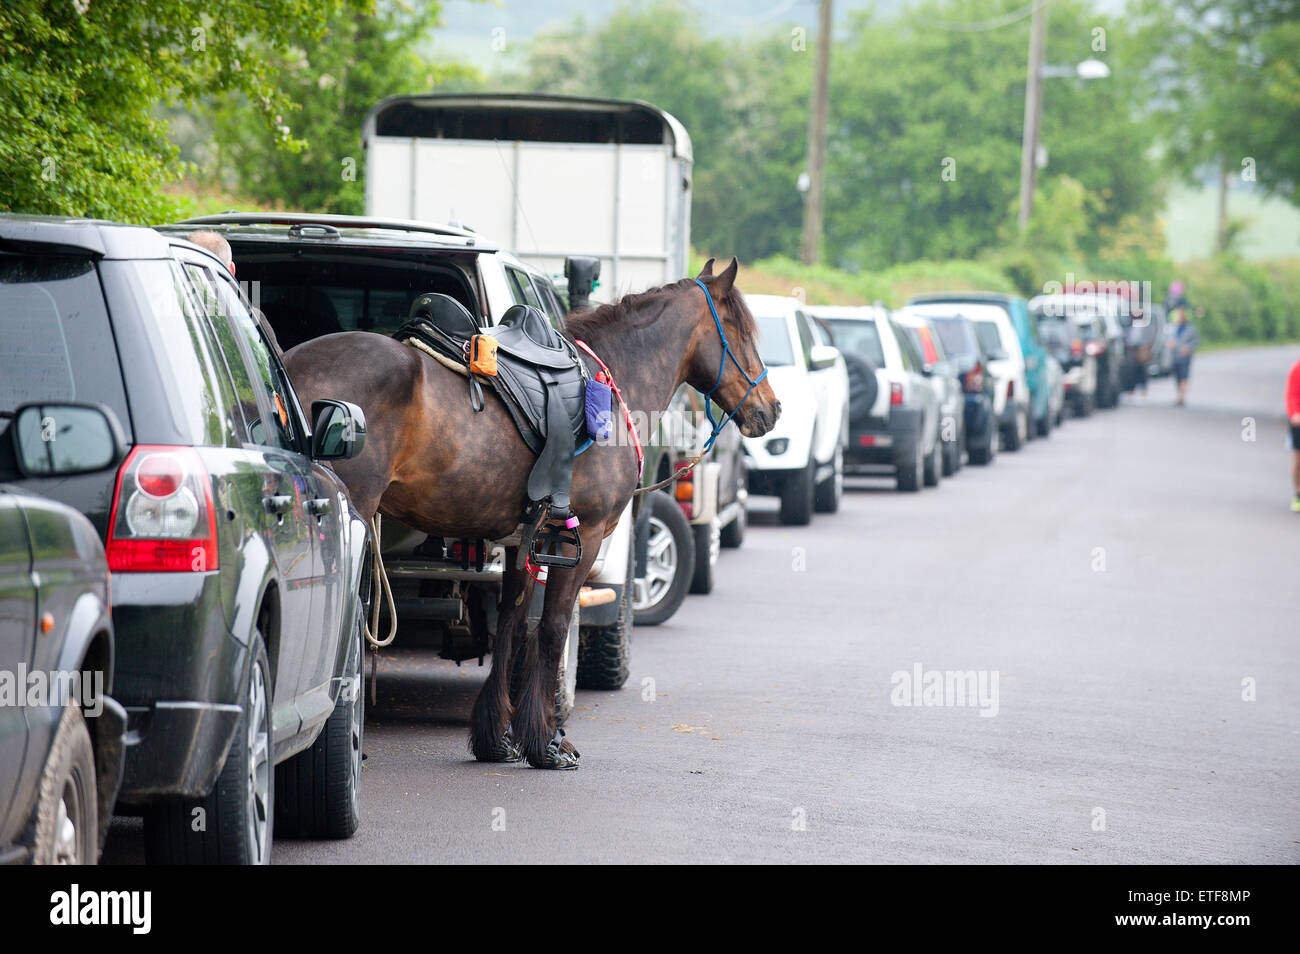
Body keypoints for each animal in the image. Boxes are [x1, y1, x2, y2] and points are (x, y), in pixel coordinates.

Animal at [282, 258, 780, 769]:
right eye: (742, 330)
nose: (772, 407)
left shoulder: (524, 541)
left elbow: (514, 626)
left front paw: (496, 737)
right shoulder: (582, 539)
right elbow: (554, 627)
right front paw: (548, 739)